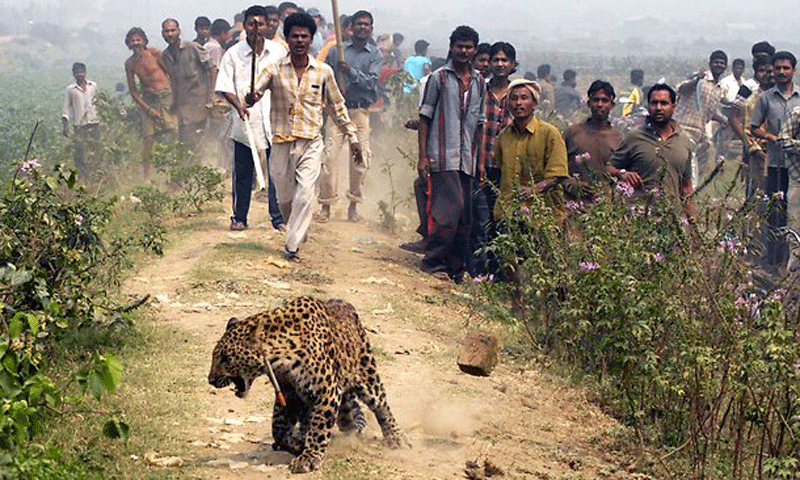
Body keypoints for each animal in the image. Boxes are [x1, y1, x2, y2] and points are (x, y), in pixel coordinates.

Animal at [208, 296, 409, 473]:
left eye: (225, 359)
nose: (211, 379)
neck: (279, 357)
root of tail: (347, 306)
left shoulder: (326, 391)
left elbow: (319, 427)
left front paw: (308, 458)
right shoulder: (289, 394)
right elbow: (278, 428)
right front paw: (296, 444)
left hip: (367, 373)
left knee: (382, 406)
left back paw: (396, 438)